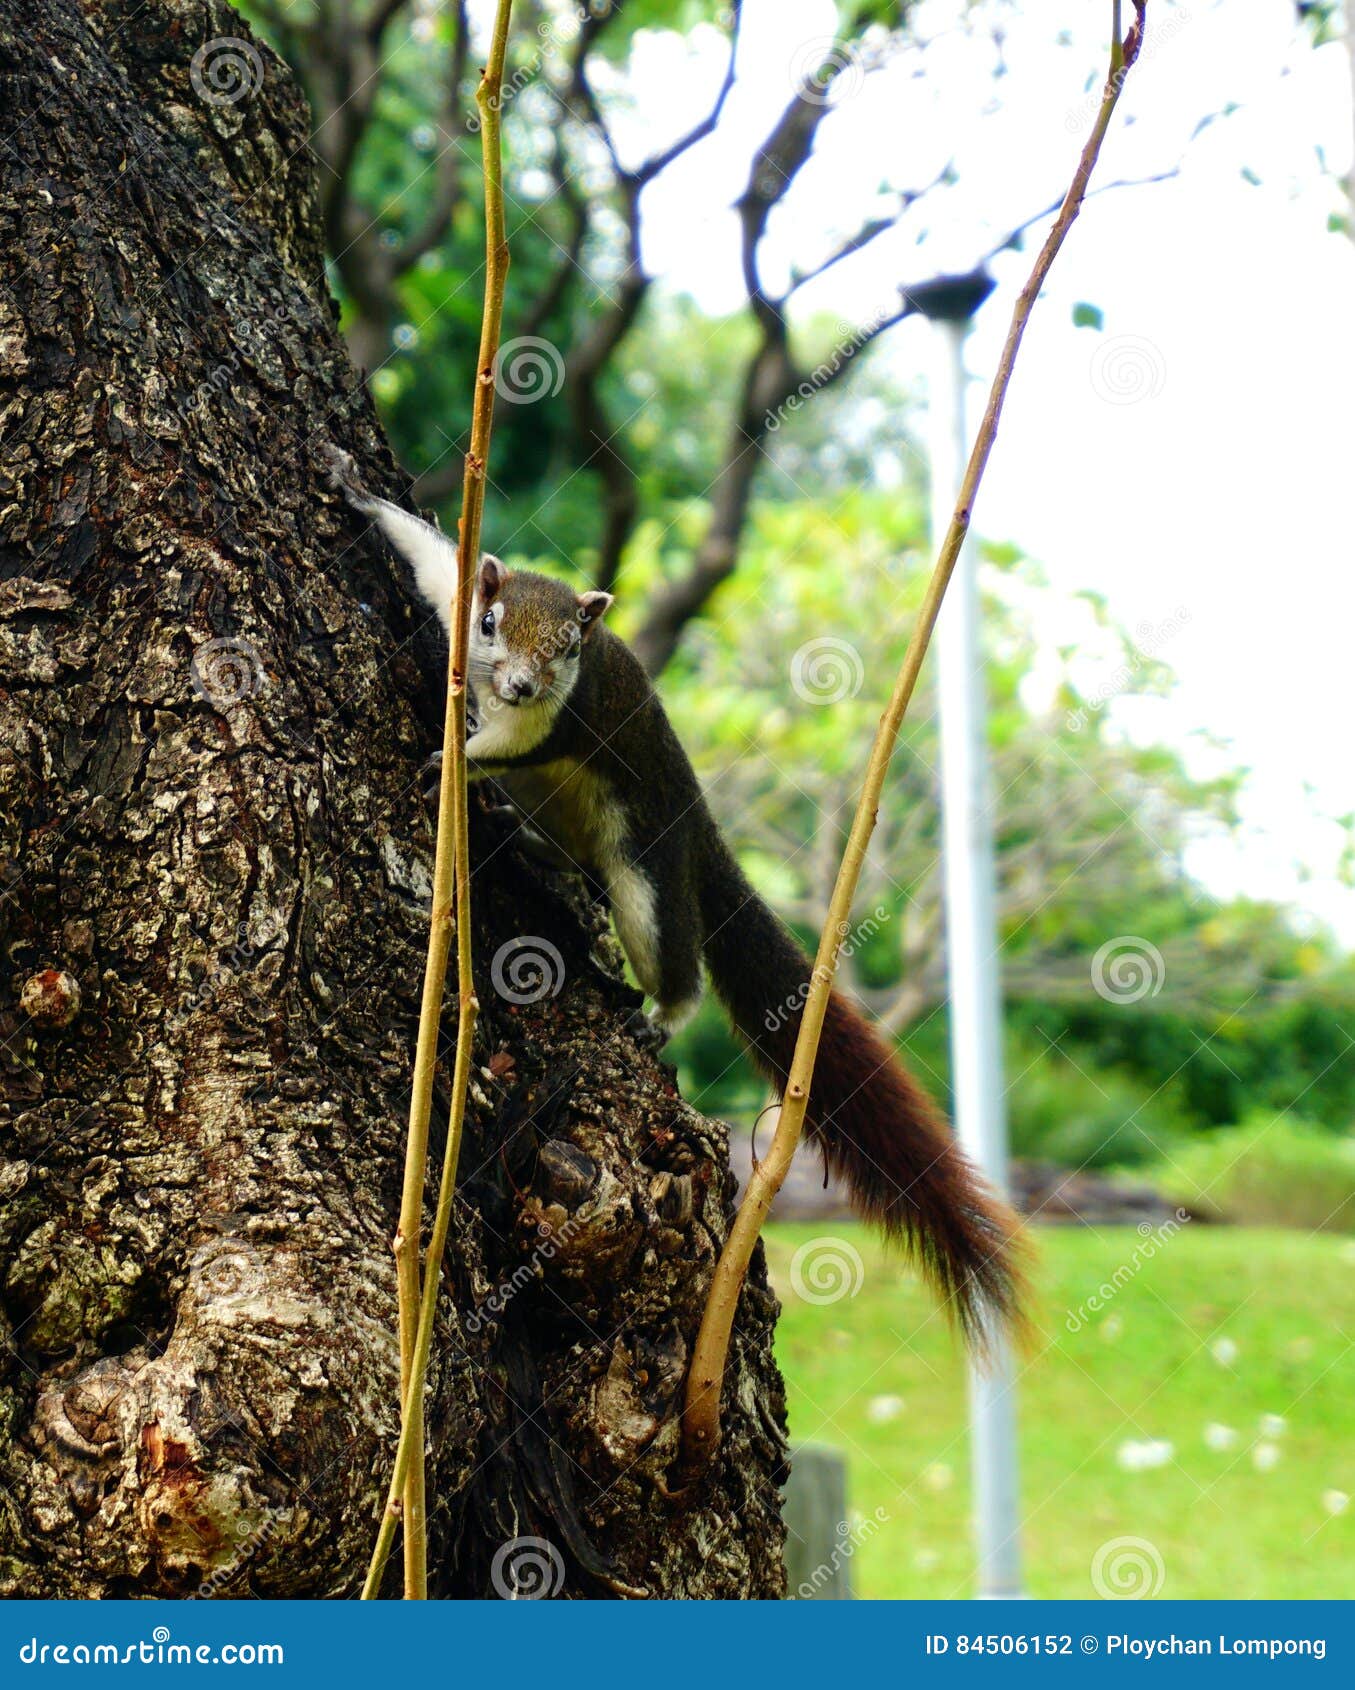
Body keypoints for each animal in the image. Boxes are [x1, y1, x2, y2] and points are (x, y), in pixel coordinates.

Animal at [323, 445, 1023, 1345]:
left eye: (567, 650)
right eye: (490, 624)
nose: (517, 686)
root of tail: (698, 827)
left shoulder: (551, 725)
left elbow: (502, 747)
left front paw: (456, 759)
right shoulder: (455, 592)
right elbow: (425, 551)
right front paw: (352, 485)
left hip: (647, 871)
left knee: (668, 946)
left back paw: (661, 1013)